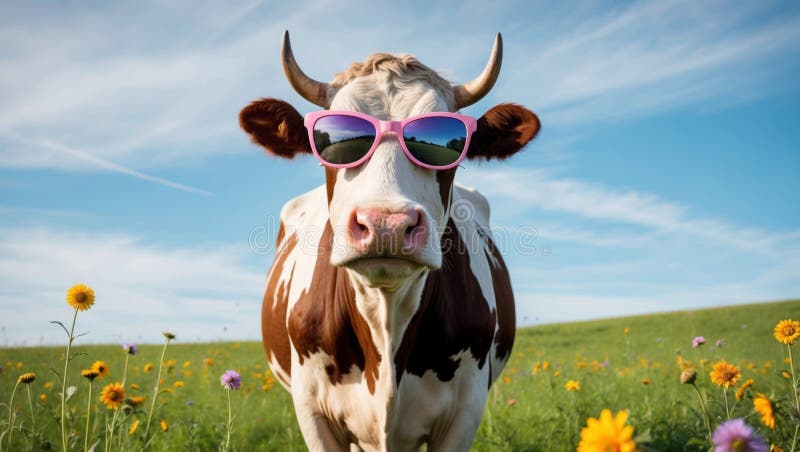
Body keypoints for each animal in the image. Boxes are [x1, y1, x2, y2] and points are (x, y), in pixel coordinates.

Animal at [239, 31, 540, 451]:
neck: (386, 318)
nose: (387, 225)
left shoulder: (464, 410)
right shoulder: (312, 411)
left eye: (448, 142)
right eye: (331, 139)